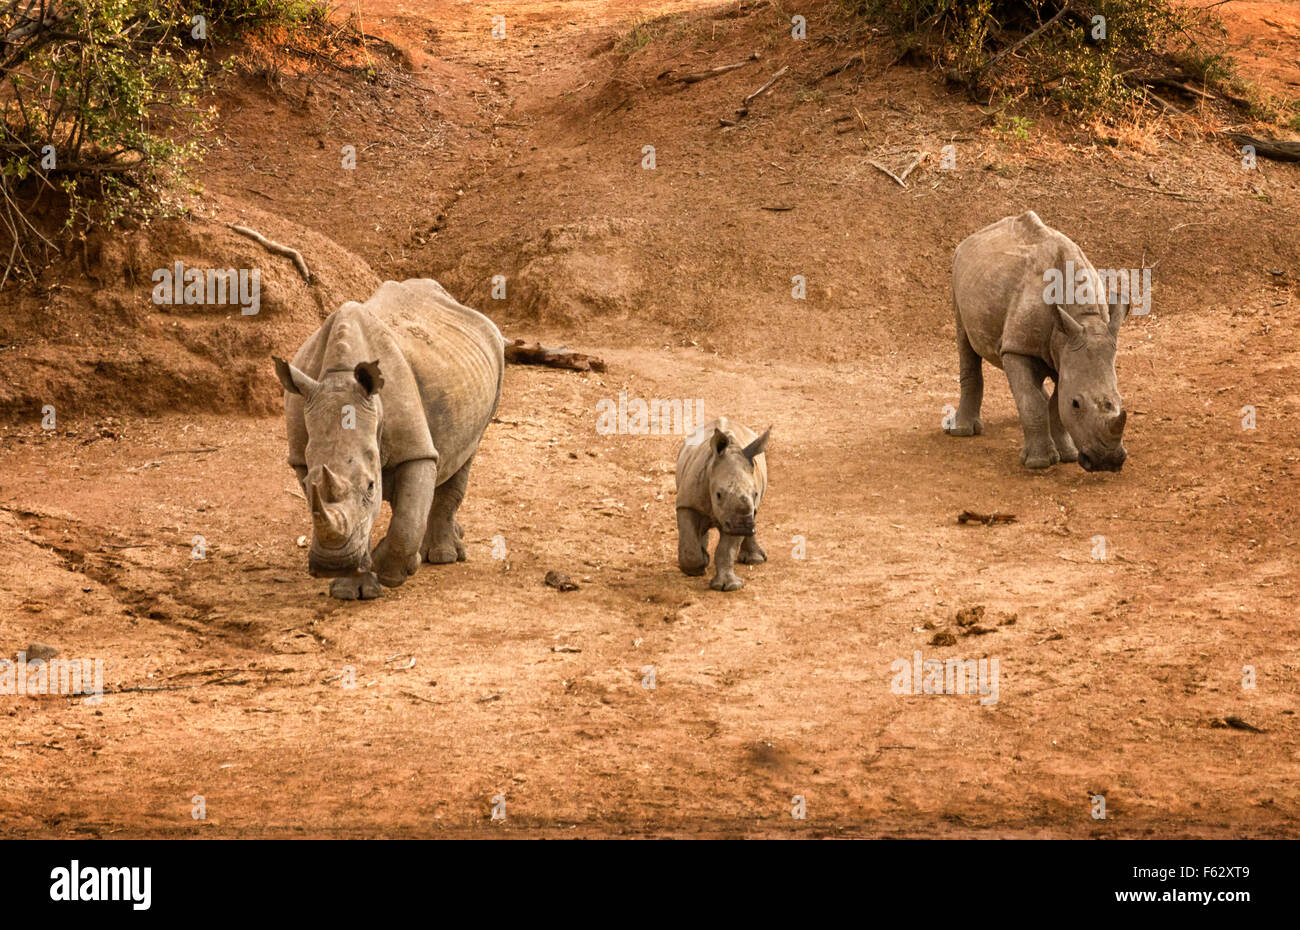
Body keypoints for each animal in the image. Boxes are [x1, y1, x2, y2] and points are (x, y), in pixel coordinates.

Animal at [273, 279, 504, 599]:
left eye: (371, 485)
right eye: (308, 484)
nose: (333, 564)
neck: (339, 376)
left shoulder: (415, 449)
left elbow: (406, 519)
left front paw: (389, 572)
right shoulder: (299, 457)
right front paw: (351, 588)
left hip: (494, 357)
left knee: (466, 454)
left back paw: (442, 556)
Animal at [675, 417, 770, 591]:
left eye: (755, 494)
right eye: (719, 495)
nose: (744, 527)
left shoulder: (738, 516)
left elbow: (726, 550)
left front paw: (728, 586)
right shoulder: (687, 504)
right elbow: (690, 544)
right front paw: (696, 569)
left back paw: (755, 560)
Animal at [947, 210, 1129, 471]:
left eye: (1120, 401)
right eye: (1076, 404)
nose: (1107, 462)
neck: (1084, 320)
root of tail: (973, 236)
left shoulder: (1067, 347)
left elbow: (1055, 402)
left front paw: (1068, 455)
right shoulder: (1017, 350)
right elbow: (1032, 402)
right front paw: (1039, 462)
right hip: (957, 273)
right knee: (966, 342)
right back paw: (962, 431)